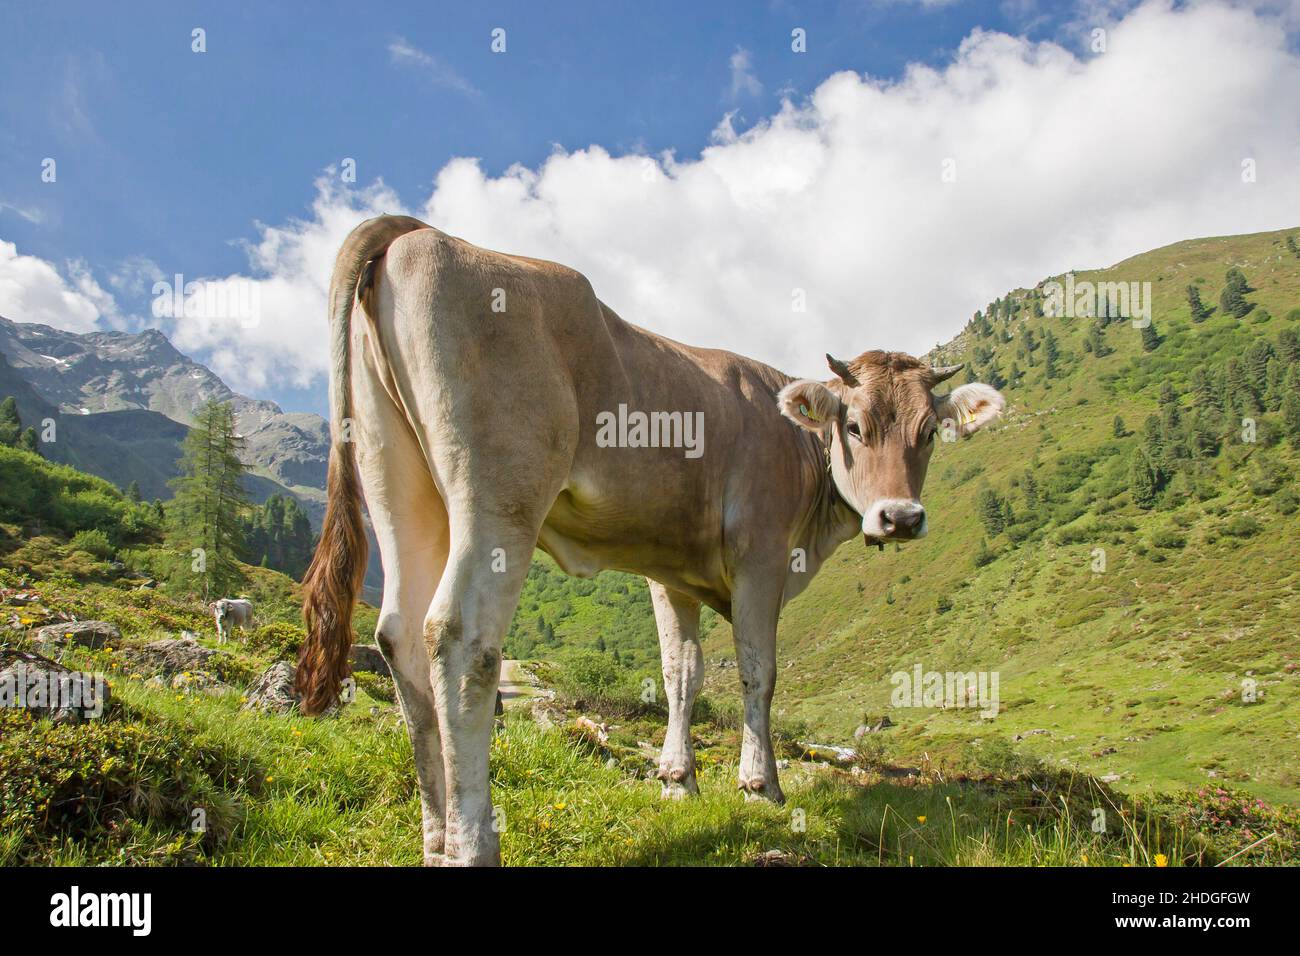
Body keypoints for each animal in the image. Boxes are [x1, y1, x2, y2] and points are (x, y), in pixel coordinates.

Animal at [297, 215, 1005, 866]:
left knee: (398, 635)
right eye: (854, 426)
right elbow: (758, 669)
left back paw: (437, 839)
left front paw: (677, 781)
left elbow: (681, 674)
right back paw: (474, 843)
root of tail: (421, 232)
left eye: (930, 432)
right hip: (499, 496)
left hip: (398, 484)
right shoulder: (762, 553)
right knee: (459, 637)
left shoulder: (671, 572)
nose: (901, 517)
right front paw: (761, 786)